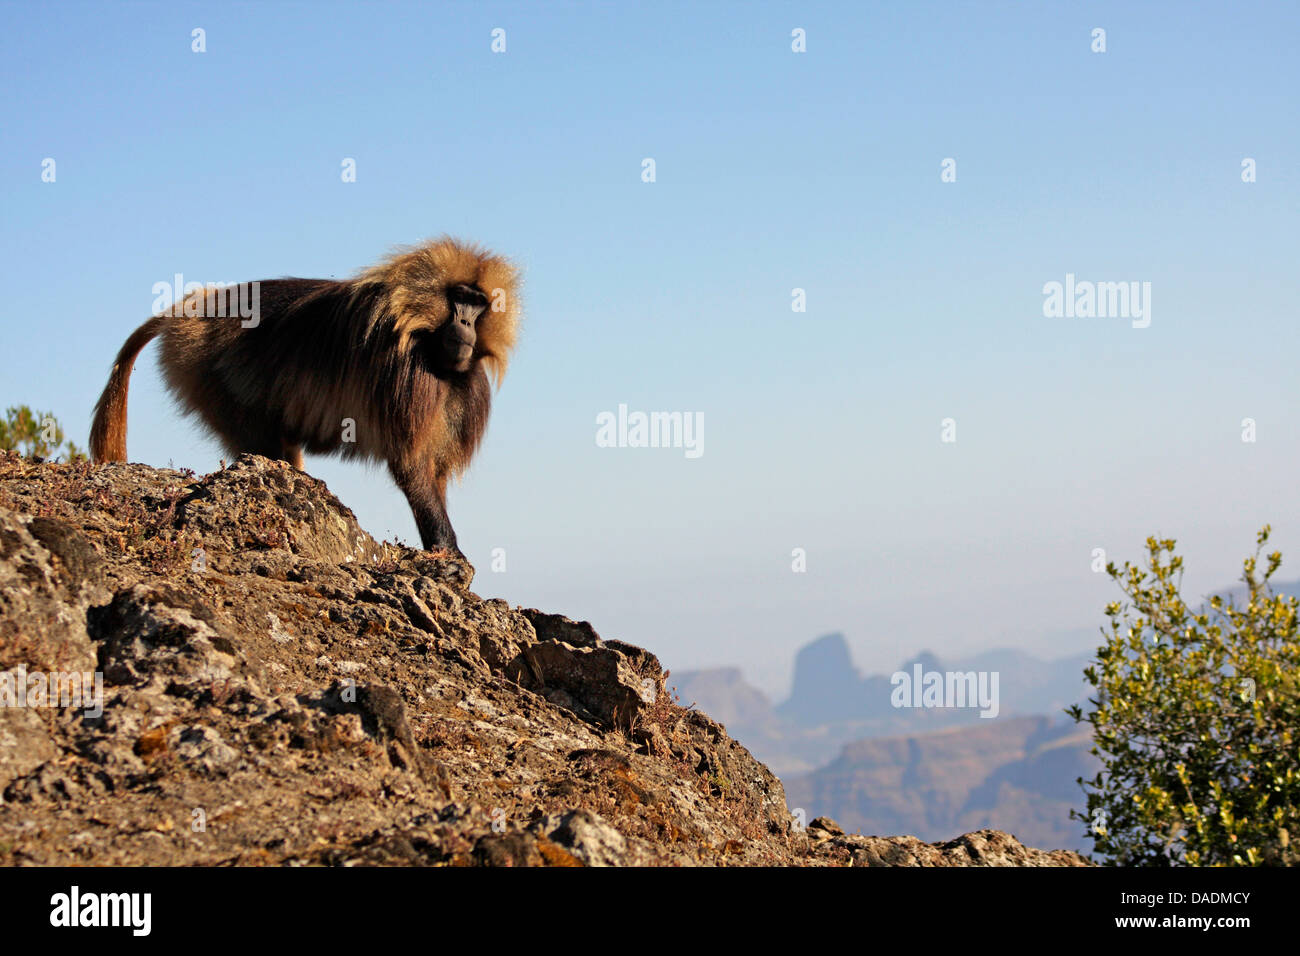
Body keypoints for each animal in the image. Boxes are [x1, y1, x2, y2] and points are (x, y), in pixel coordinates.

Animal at [89, 238, 521, 553]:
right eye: (459, 298)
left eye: (478, 304)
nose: (465, 322)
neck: (426, 342)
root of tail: (192, 308)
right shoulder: (406, 378)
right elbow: (411, 466)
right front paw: (450, 556)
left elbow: (434, 472)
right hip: (206, 373)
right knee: (262, 443)